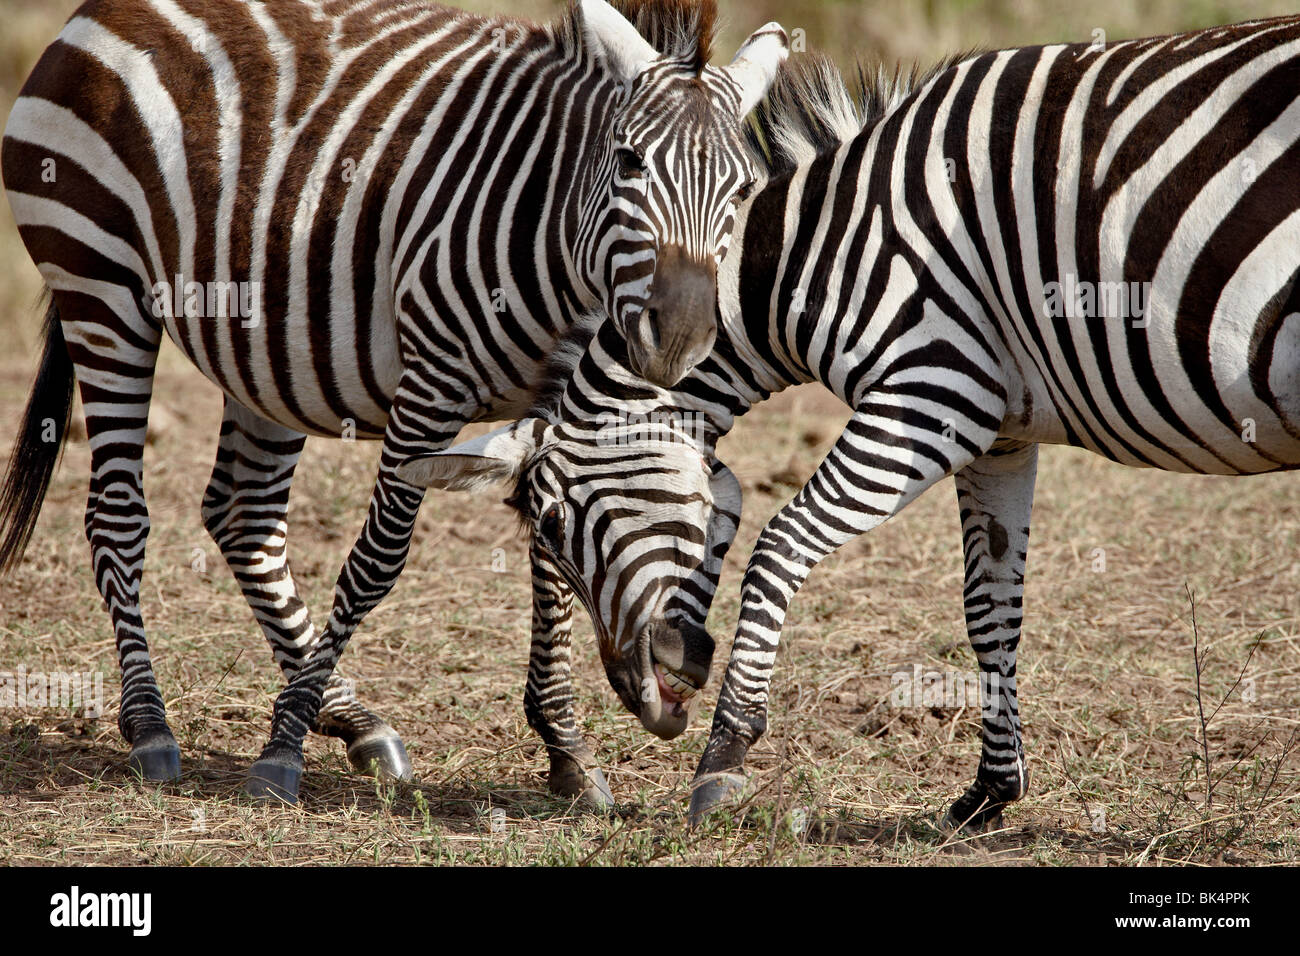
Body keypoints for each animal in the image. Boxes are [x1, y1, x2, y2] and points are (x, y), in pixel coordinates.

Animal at [0, 0, 789, 805]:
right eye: (629, 162)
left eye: (743, 190)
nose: (680, 337)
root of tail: (99, 12)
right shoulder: (431, 383)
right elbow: (378, 560)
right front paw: (281, 748)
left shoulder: (552, 410)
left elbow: (548, 558)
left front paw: (566, 747)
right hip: (100, 286)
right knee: (117, 515)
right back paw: (152, 727)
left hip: (263, 342)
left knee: (244, 516)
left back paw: (351, 718)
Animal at [406, 16, 1300, 826]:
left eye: (557, 522)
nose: (647, 704)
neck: (831, 248)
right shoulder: (1001, 431)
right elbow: (990, 607)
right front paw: (989, 793)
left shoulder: (934, 394)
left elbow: (779, 546)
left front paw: (725, 756)